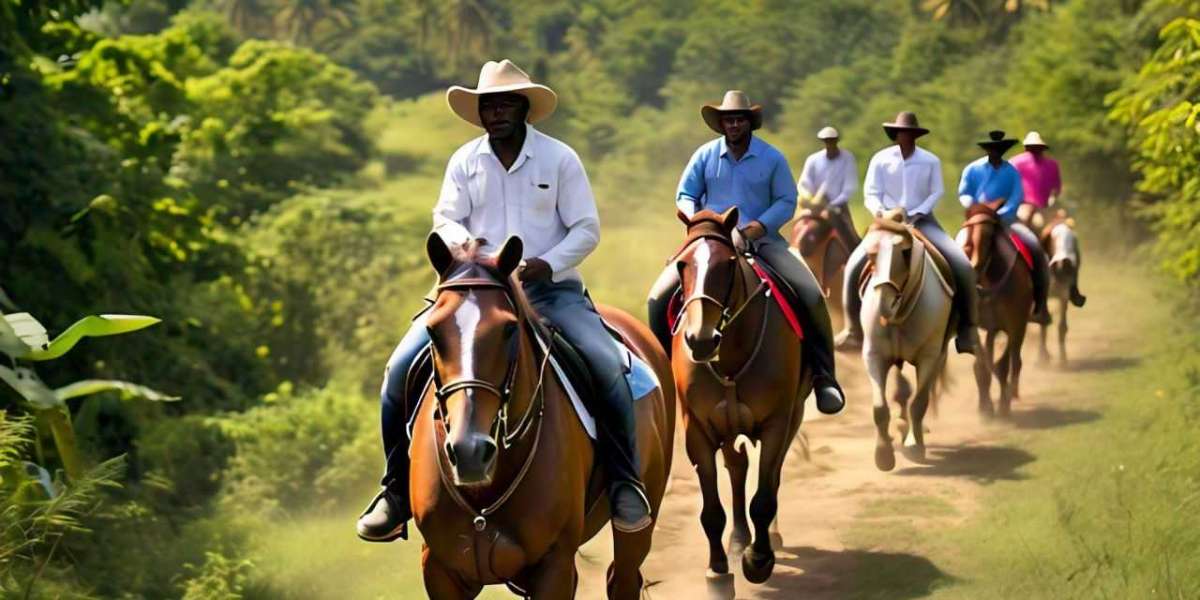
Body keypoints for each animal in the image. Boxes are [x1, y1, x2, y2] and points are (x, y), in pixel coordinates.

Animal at [412, 231, 676, 597]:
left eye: (509, 329)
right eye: (433, 331)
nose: (469, 452)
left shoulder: (554, 565)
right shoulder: (438, 568)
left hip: (641, 518)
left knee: (622, 576)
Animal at [672, 208, 811, 583]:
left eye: (729, 264)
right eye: (682, 265)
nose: (701, 340)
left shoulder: (777, 423)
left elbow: (763, 497)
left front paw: (759, 559)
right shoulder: (697, 431)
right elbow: (711, 510)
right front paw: (718, 570)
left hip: (792, 416)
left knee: (770, 474)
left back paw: (764, 540)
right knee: (737, 469)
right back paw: (737, 540)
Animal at [864, 213, 955, 470]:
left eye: (904, 253)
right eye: (870, 253)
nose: (884, 305)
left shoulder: (930, 356)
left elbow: (919, 402)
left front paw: (915, 446)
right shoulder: (874, 355)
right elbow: (880, 408)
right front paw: (883, 455)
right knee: (901, 393)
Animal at [960, 202, 1036, 417]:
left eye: (989, 235)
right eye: (967, 230)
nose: (973, 267)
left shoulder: (1015, 325)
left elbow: (1001, 365)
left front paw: (1003, 405)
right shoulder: (976, 328)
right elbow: (982, 365)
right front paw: (985, 407)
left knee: (1015, 361)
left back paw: (1013, 393)